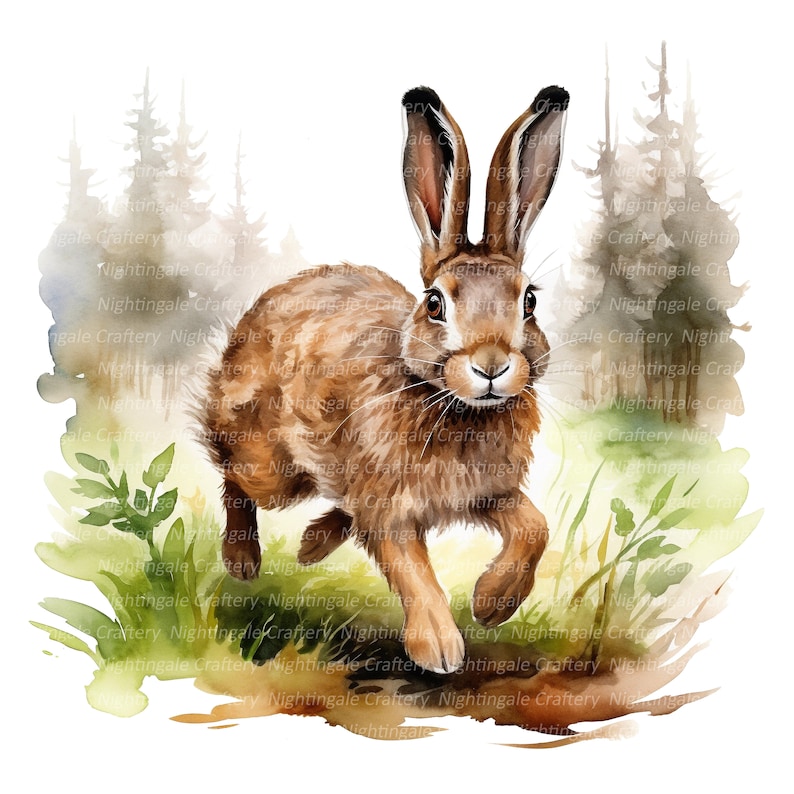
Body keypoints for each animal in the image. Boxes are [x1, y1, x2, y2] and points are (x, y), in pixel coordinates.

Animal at [203, 85, 569, 673]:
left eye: (529, 301)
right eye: (435, 303)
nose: (491, 365)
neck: (448, 400)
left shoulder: (490, 492)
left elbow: (535, 528)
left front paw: (492, 604)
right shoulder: (391, 503)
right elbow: (411, 568)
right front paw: (439, 648)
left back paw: (312, 542)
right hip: (270, 463)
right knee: (234, 475)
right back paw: (242, 558)